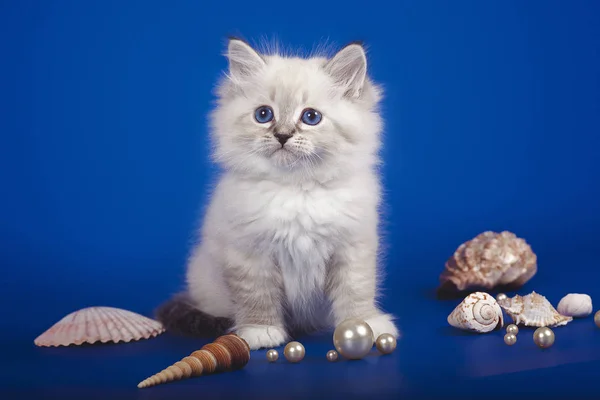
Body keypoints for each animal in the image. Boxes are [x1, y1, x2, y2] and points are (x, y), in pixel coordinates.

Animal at [156, 37, 398, 350]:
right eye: (264, 115)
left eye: (311, 117)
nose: (282, 135)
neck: (297, 189)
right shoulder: (250, 252)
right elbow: (256, 296)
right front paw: (261, 331)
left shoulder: (352, 247)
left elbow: (356, 291)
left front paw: (366, 325)